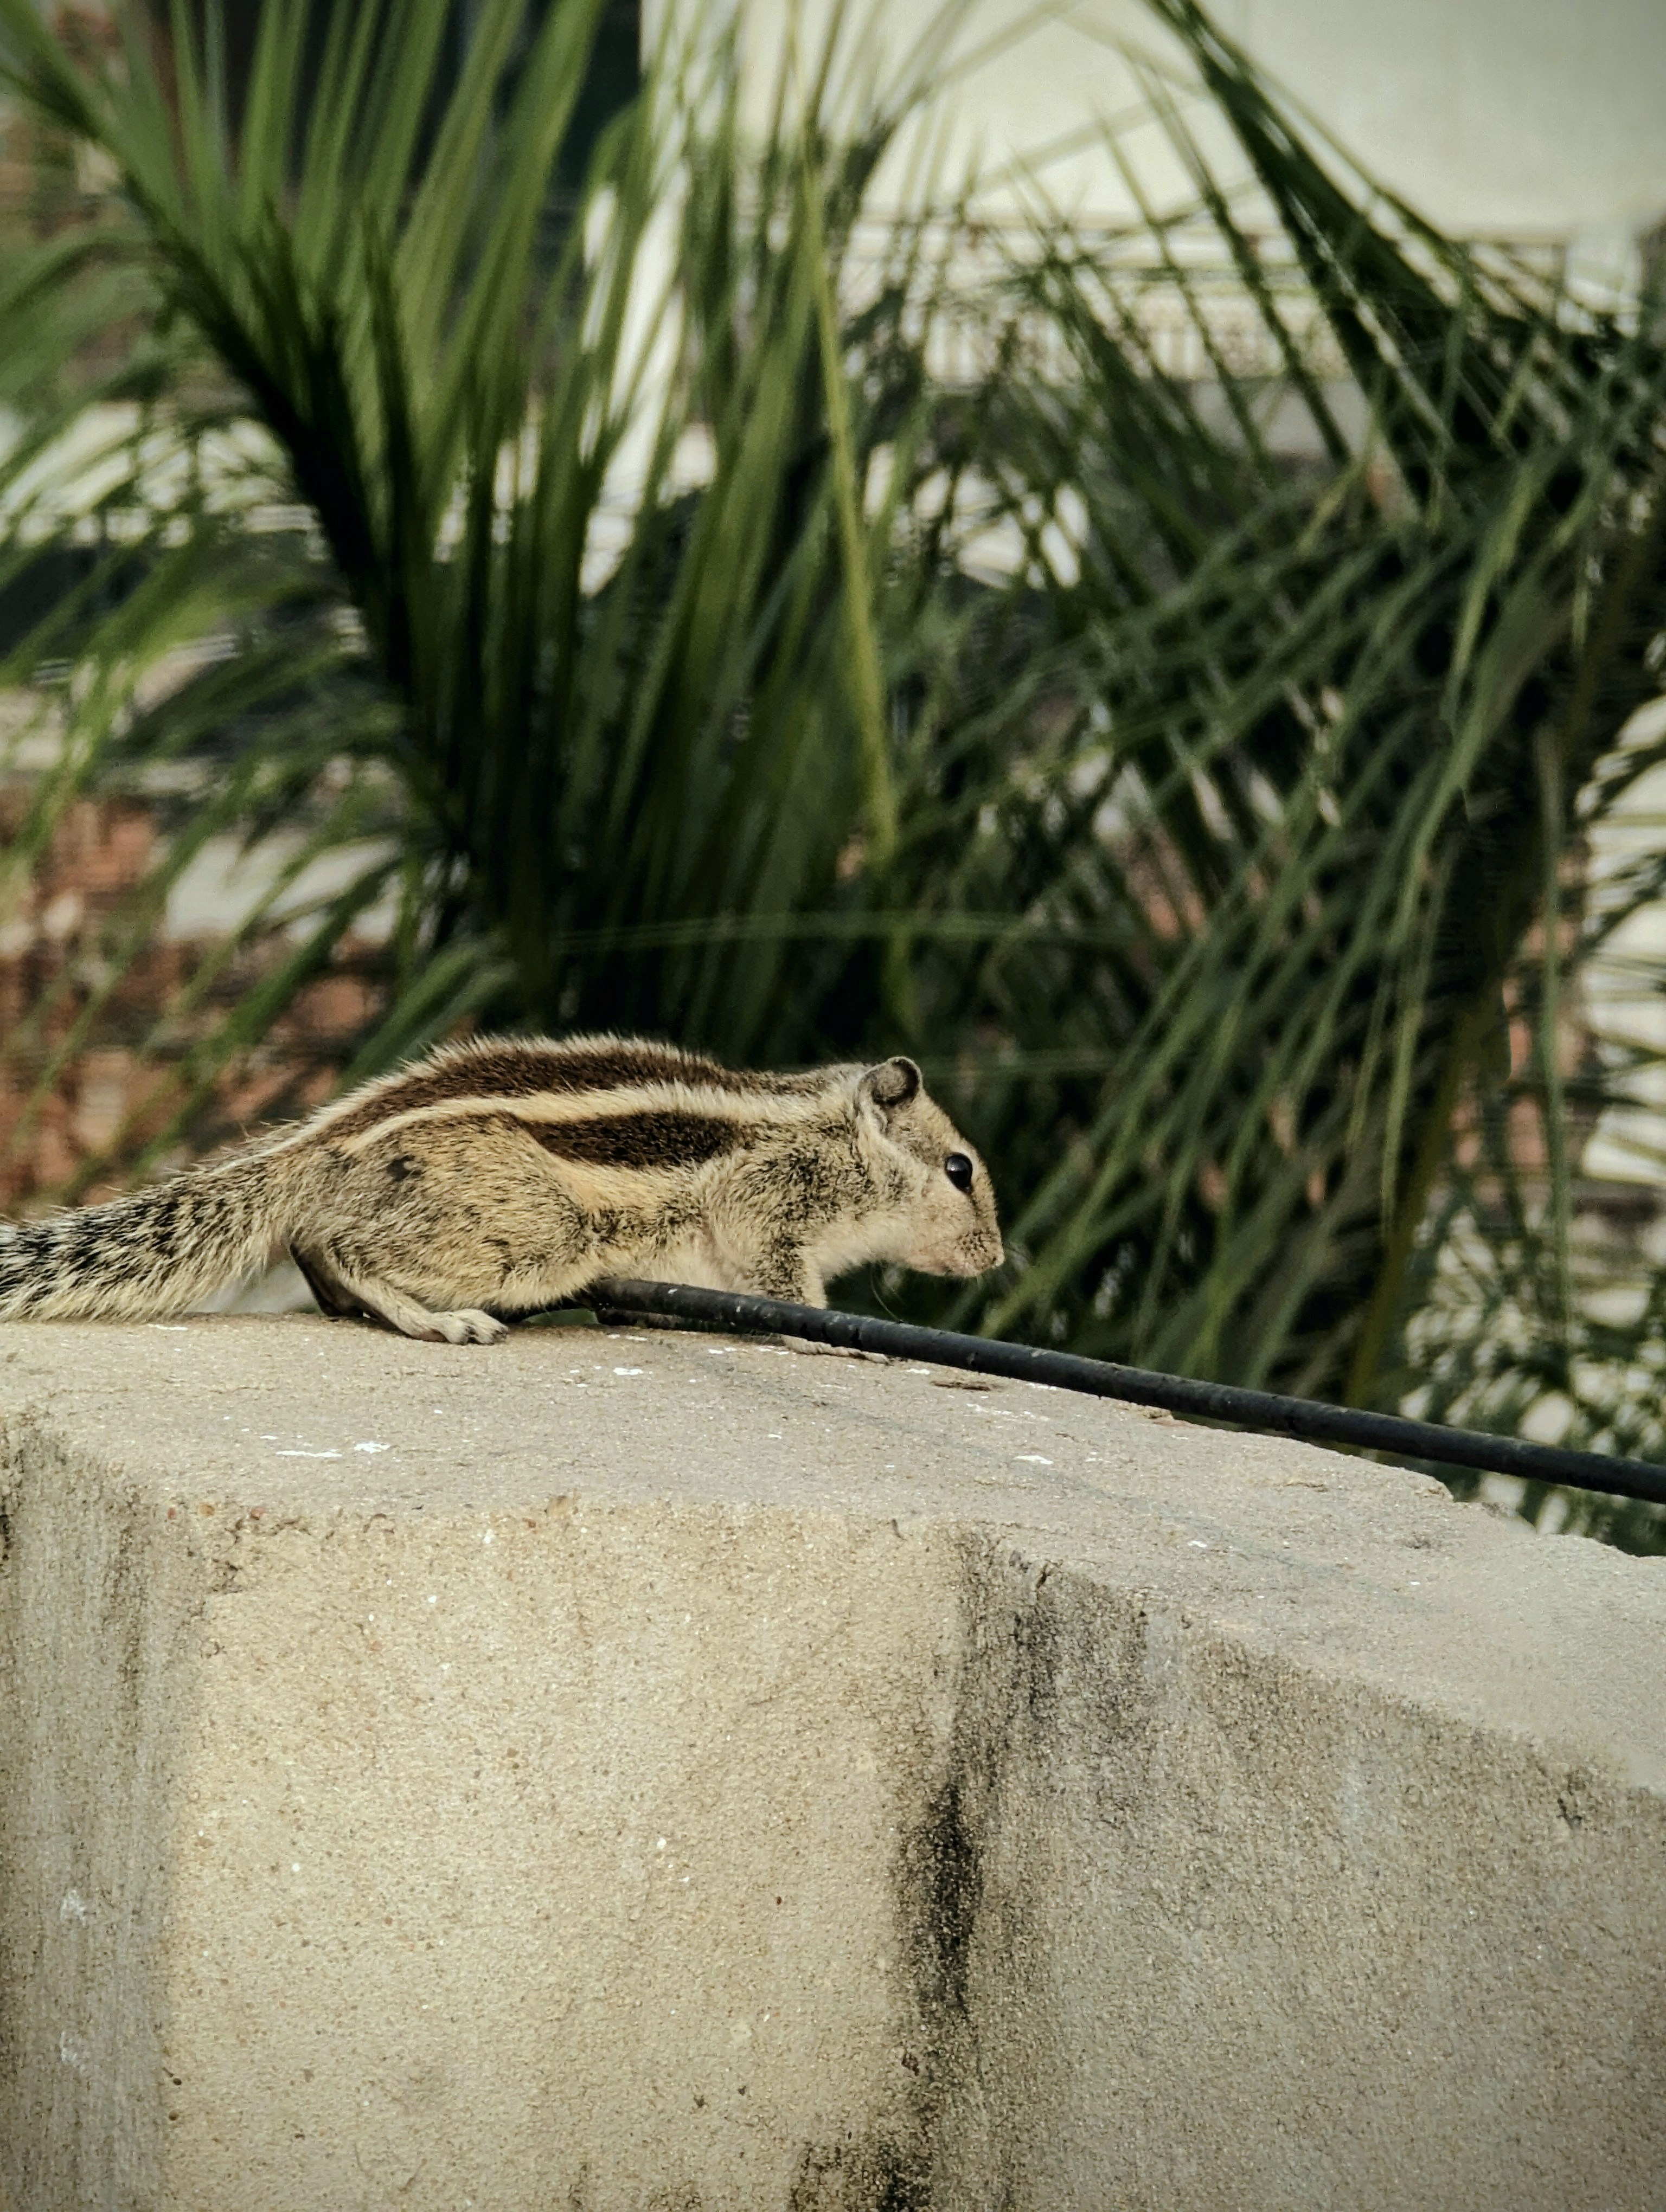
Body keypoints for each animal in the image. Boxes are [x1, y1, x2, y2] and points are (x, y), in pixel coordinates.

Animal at [0, 1034, 1004, 1344]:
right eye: (960, 1171)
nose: (996, 1258)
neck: (830, 1127)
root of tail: (317, 1147)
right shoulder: (764, 1203)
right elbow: (787, 1283)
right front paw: (831, 1331)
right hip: (534, 1229)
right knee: (344, 1245)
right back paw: (432, 1319)